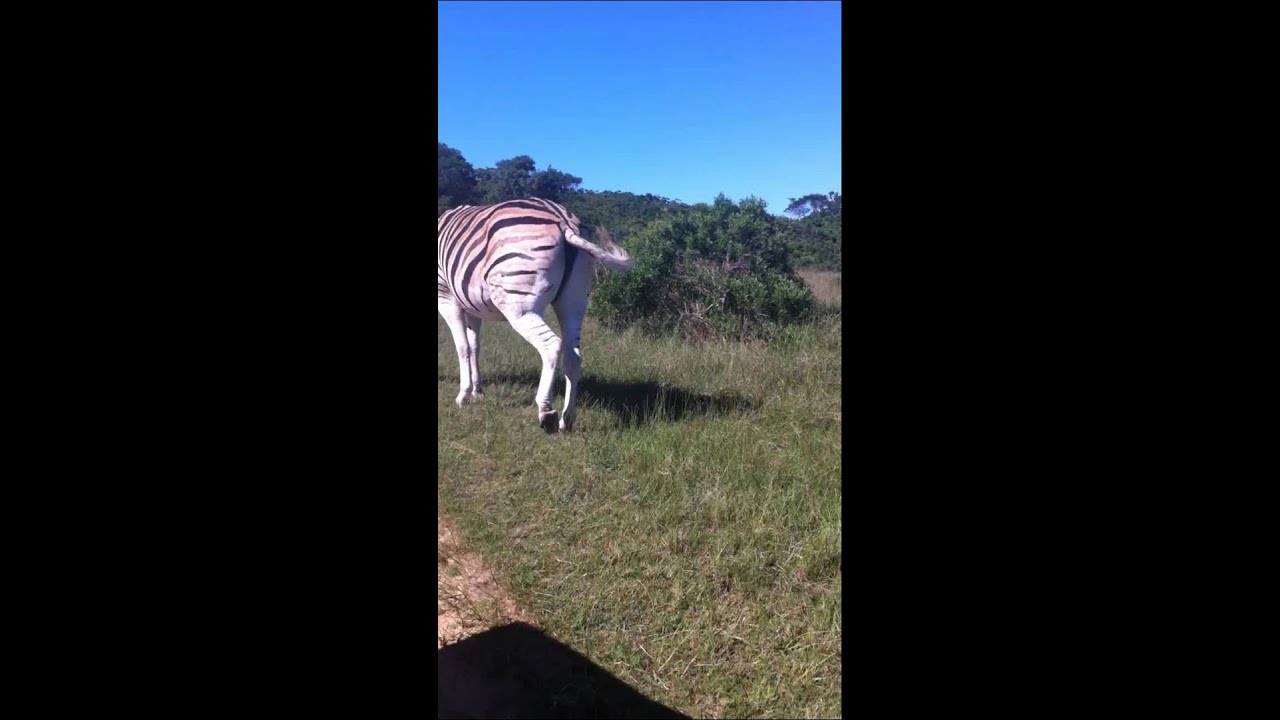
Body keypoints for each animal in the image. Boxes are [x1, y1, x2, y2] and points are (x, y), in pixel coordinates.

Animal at [438, 197, 632, 432]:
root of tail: (564, 220)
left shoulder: (446, 297)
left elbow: (463, 347)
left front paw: (464, 395)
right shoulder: (473, 306)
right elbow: (475, 346)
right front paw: (478, 391)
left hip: (519, 306)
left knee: (551, 346)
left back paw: (546, 412)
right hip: (574, 300)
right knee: (574, 356)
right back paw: (567, 419)